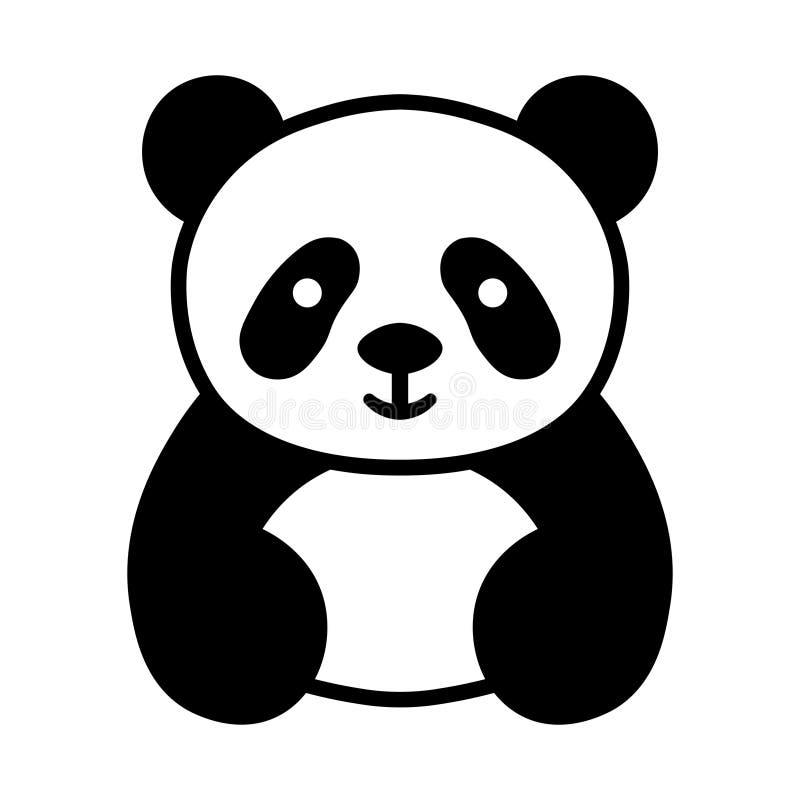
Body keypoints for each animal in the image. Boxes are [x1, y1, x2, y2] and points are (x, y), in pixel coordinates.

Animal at [130, 75, 672, 725]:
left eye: (492, 287)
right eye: (306, 287)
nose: (400, 345)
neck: (399, 464)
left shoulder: (571, 446)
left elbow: (603, 556)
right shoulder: (228, 445)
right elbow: (195, 556)